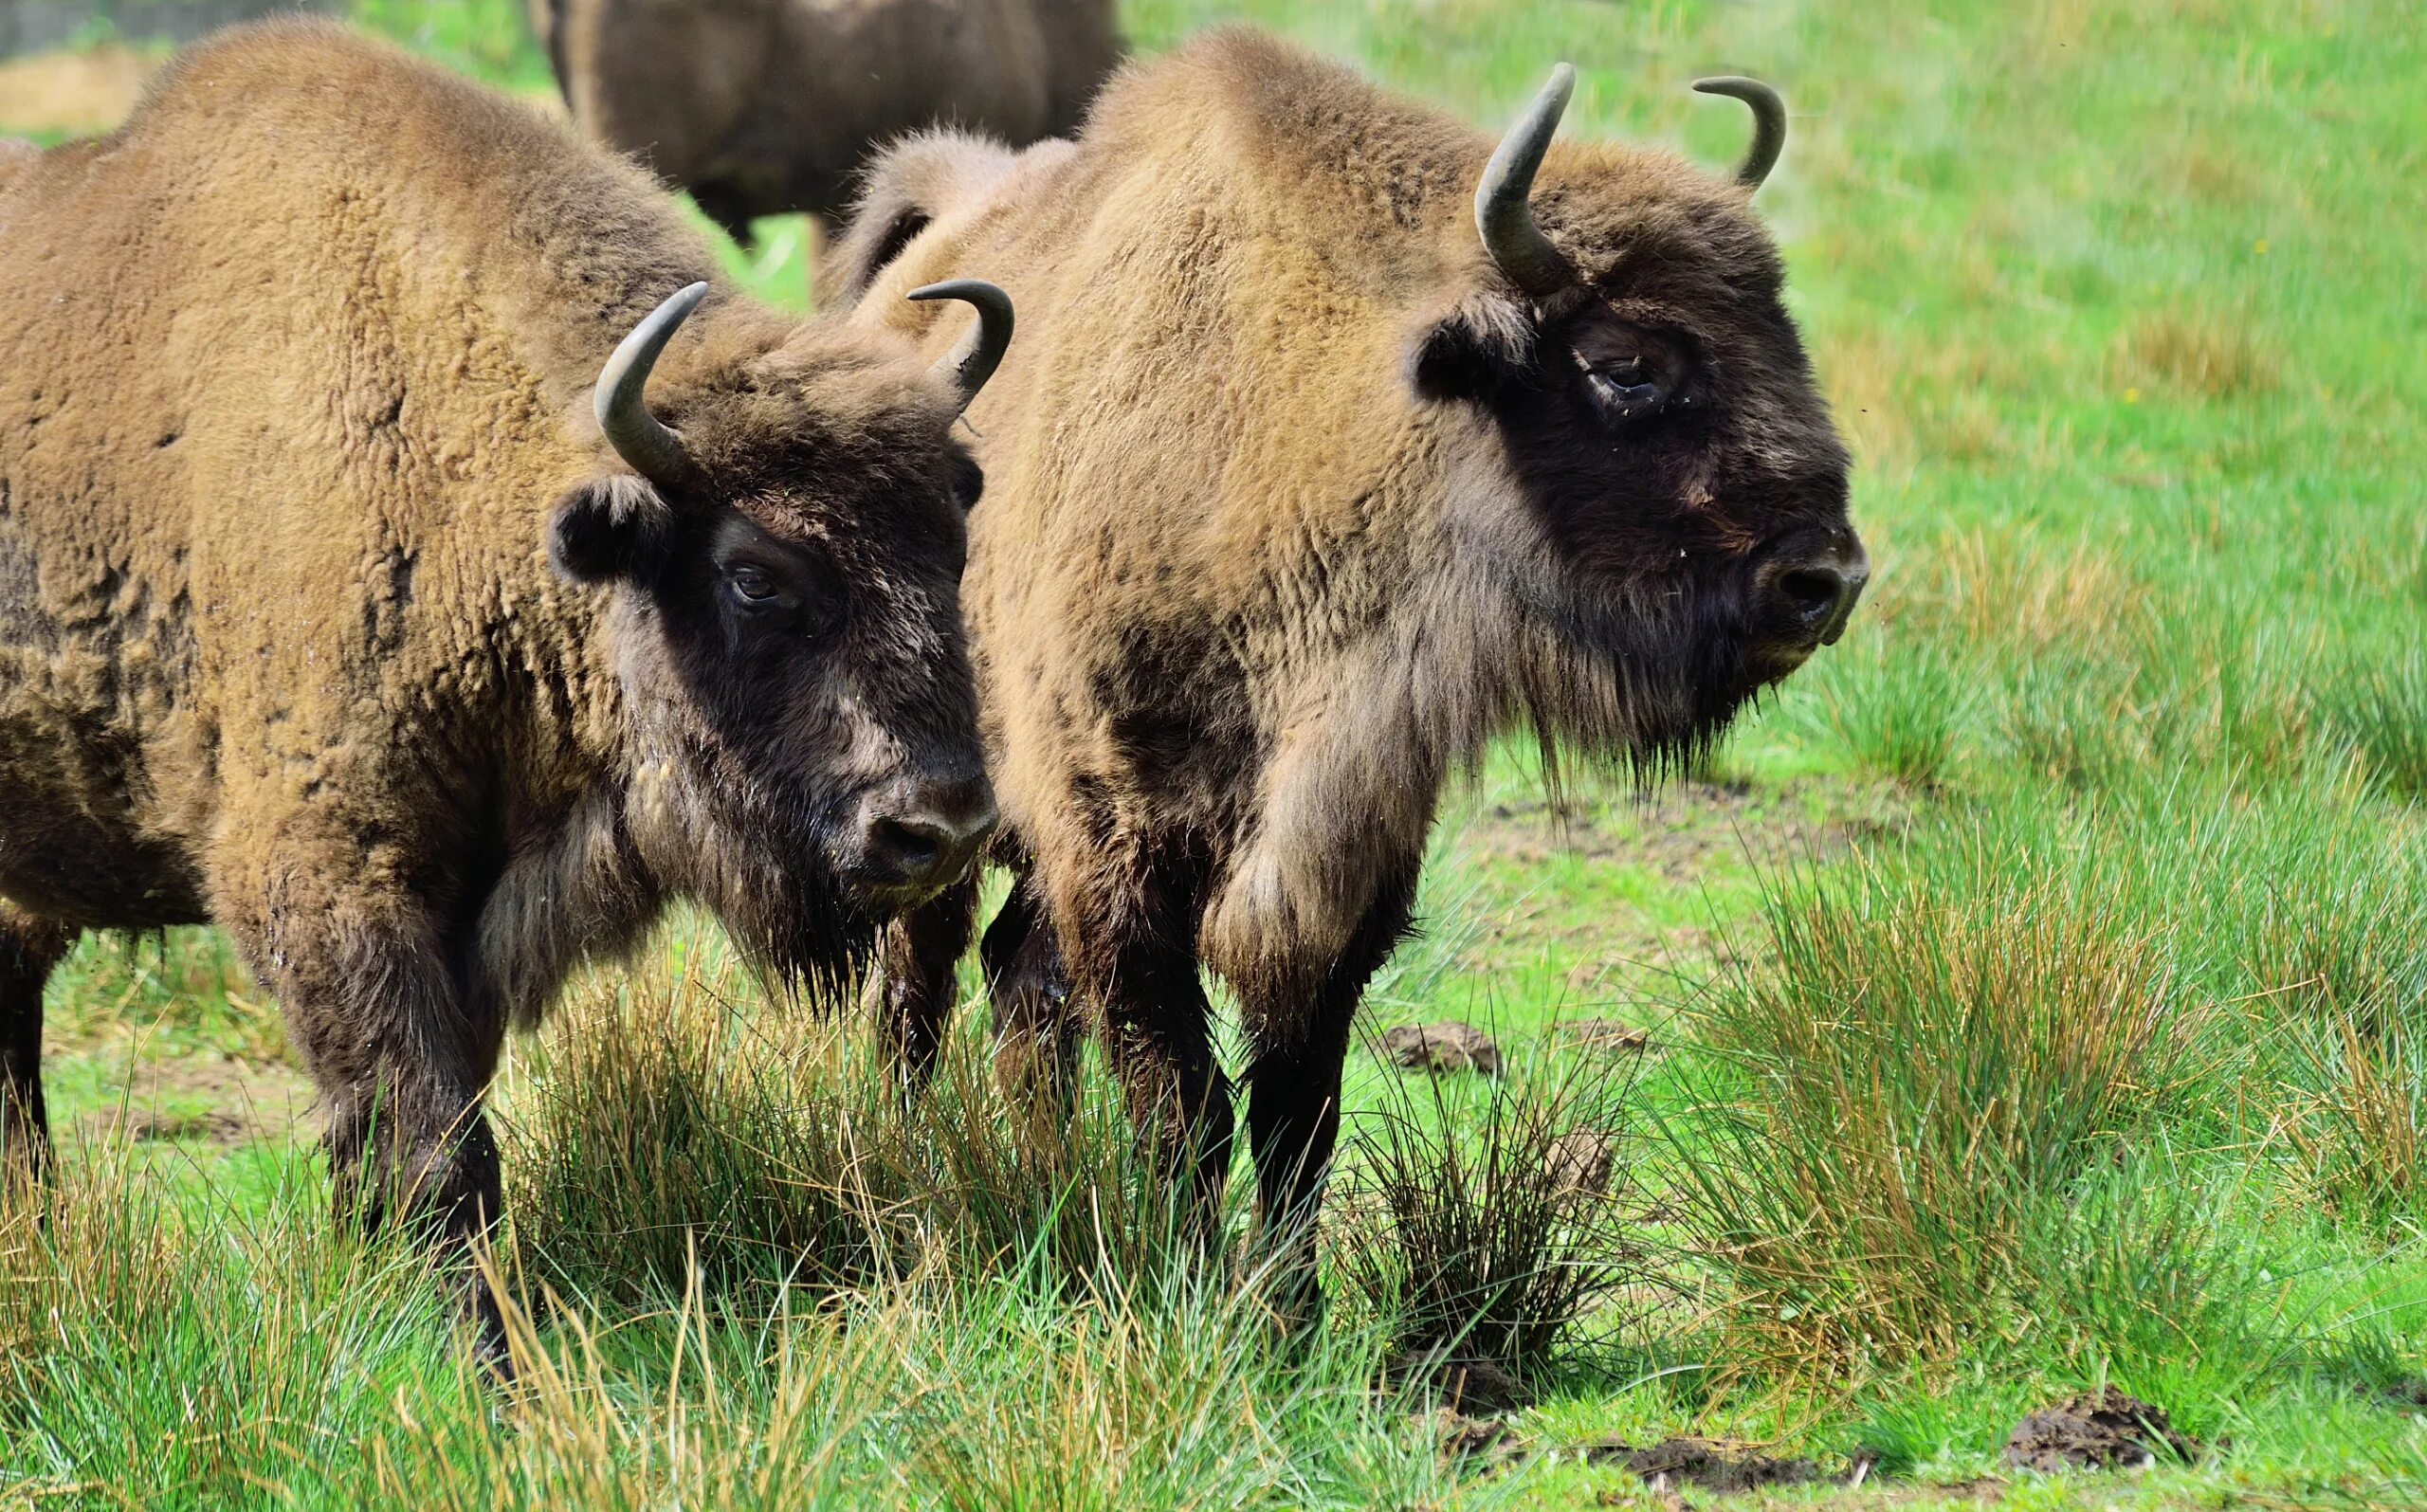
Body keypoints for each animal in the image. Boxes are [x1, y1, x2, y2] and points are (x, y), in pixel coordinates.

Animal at [0, 17, 1014, 1368]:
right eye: (753, 574)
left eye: (955, 533)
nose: (939, 826)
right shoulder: (326, 879)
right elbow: (432, 1145)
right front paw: (484, 1364)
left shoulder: (470, 912)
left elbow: (408, 1133)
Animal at [844, 32, 1864, 1291]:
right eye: (1626, 361)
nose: (1823, 579)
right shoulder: (1115, 844)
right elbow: (1180, 1093)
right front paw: (1195, 1287)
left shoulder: (1343, 861)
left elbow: (1297, 1107)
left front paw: (1287, 1308)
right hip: (944, 824)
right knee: (916, 989)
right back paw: (911, 1175)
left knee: (1014, 984)